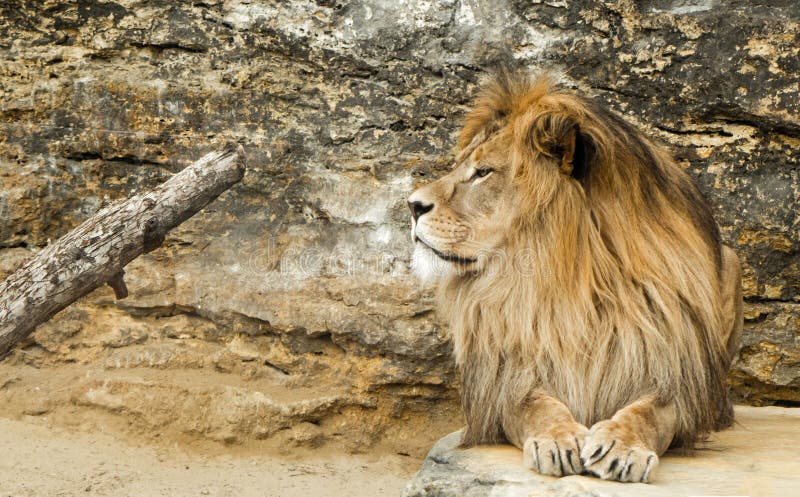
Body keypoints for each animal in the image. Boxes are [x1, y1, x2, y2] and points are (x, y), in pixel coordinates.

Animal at [407, 72, 743, 483]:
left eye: (483, 172)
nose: (412, 205)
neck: (573, 281)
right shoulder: (506, 383)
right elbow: (535, 406)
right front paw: (557, 438)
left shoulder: (673, 381)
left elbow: (648, 413)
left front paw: (621, 447)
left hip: (731, 261)